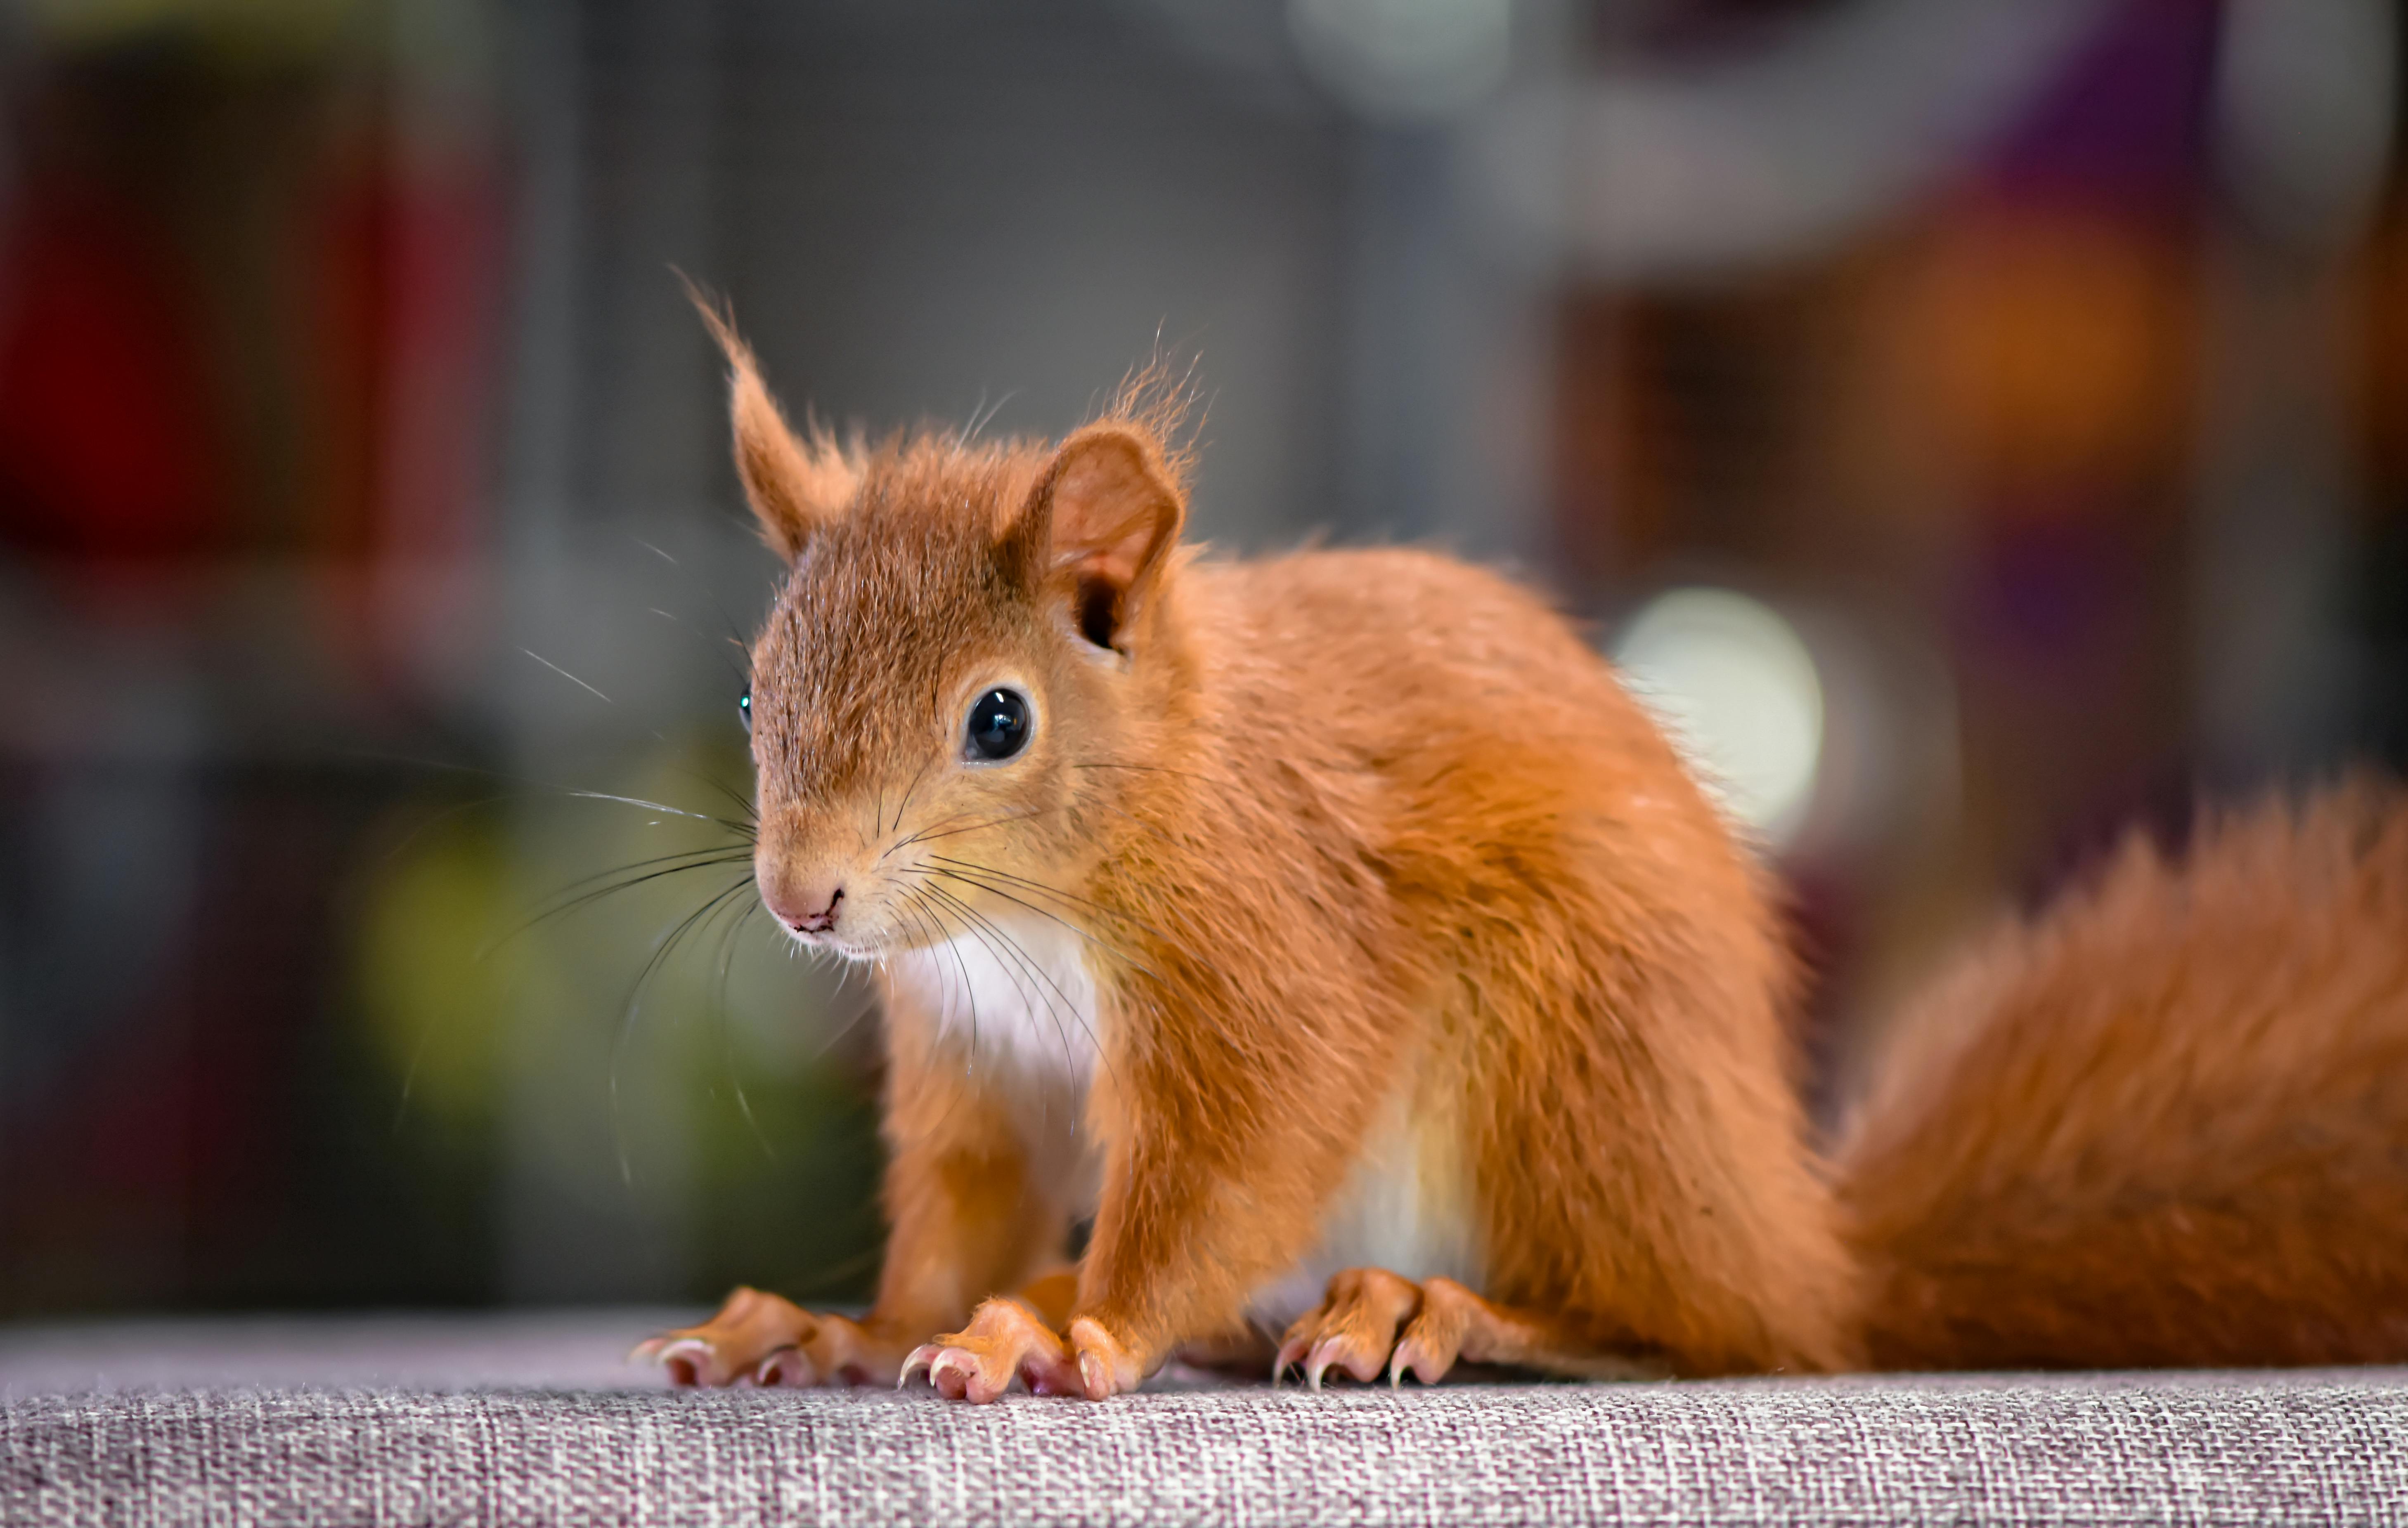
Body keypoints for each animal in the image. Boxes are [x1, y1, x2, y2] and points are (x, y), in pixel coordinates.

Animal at [634, 320, 2408, 1401]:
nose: (805, 898)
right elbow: (960, 1204)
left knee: (1695, 1332)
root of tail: (1804, 1245)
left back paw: (1433, 1307)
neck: (1040, 907)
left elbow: (1227, 1164)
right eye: (755, 689)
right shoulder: (974, 1048)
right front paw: (852, 1325)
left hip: (1572, 1057)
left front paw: (1076, 1324)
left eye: (998, 719)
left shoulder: (1274, 943)